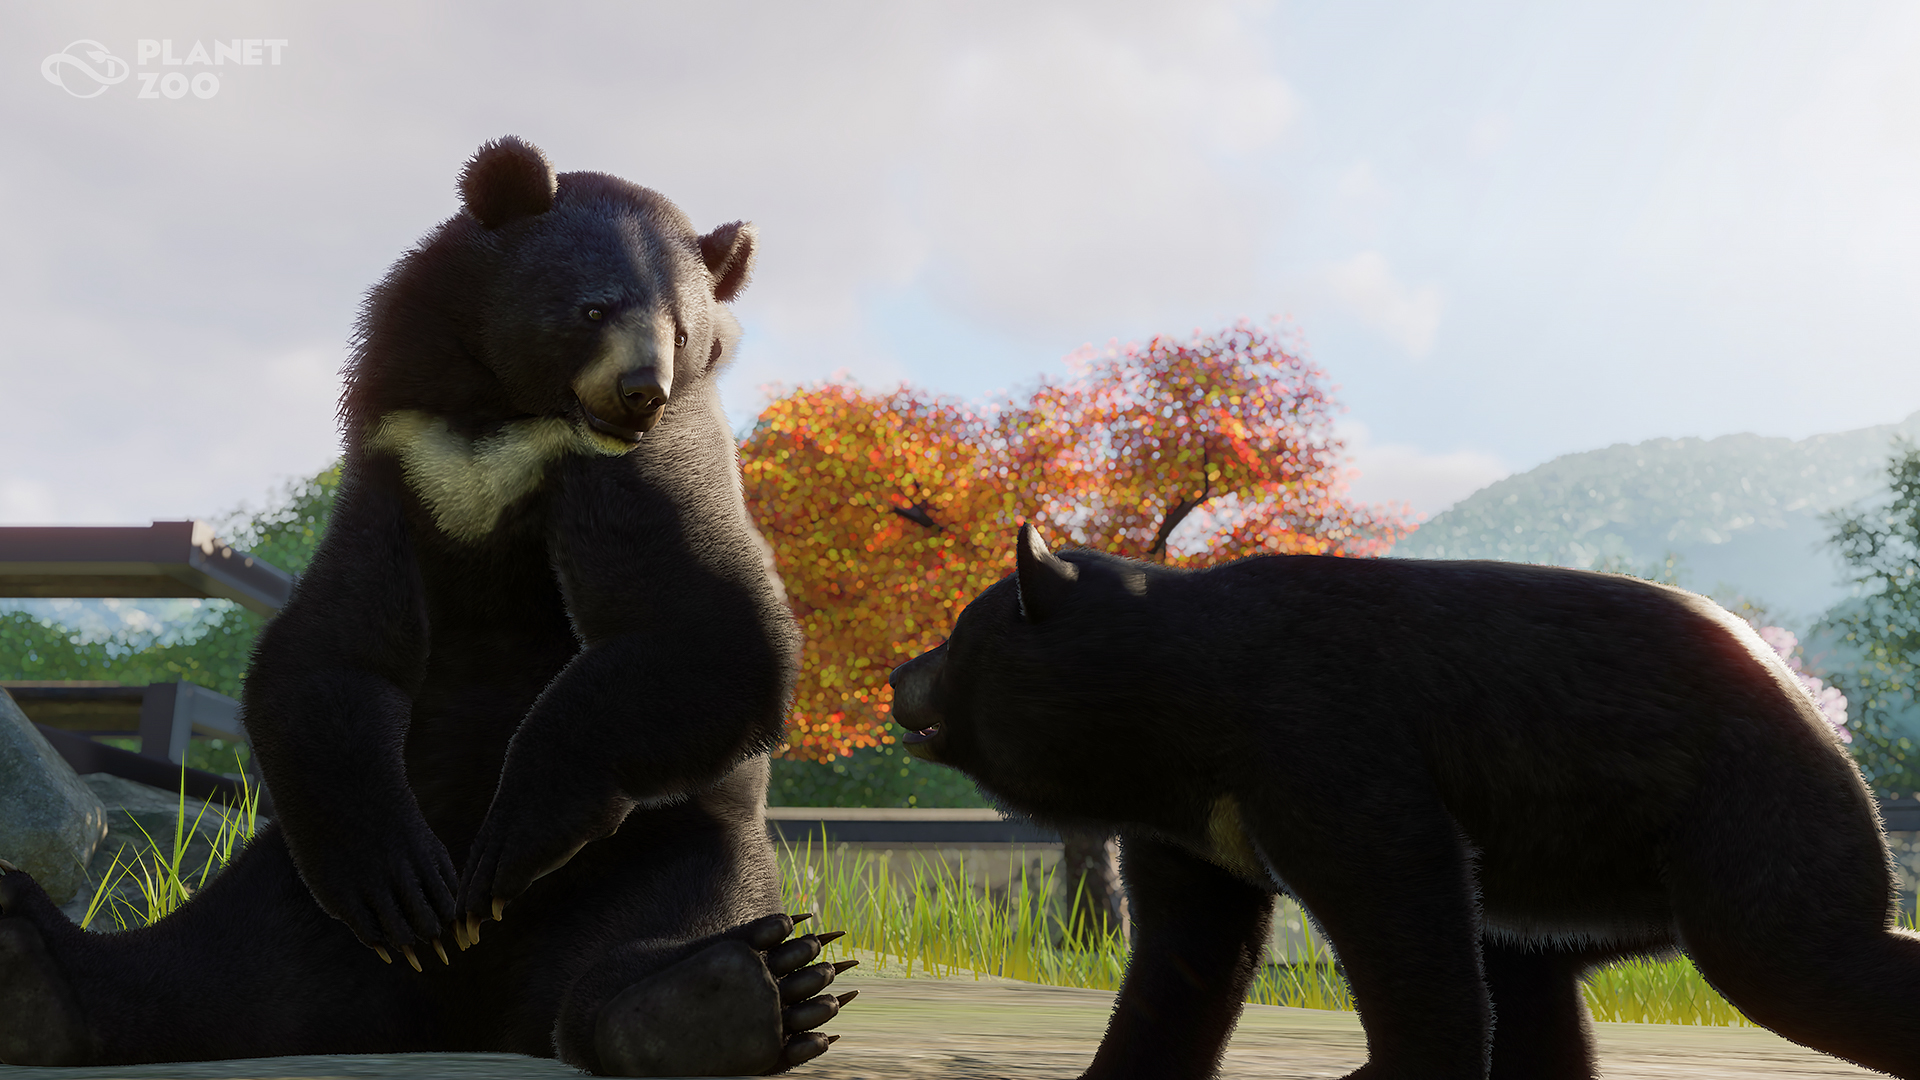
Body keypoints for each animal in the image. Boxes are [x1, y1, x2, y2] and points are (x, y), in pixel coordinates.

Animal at [0, 136, 854, 1076]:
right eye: (593, 306)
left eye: (682, 329)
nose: (643, 391)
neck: (505, 422)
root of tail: (474, 1009)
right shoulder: (402, 462)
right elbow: (336, 651)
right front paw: (405, 873)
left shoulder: (646, 465)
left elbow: (702, 625)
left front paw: (514, 830)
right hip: (302, 891)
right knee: (223, 963)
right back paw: (36, 972)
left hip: (673, 847)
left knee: (663, 925)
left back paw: (719, 995)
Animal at [888, 523, 1920, 1080]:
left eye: (954, 634)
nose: (898, 675)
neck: (1176, 721)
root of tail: (1819, 723)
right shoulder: (1198, 829)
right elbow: (1182, 962)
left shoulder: (1319, 741)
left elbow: (1399, 902)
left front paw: (1382, 1063)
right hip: (1568, 877)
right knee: (1529, 982)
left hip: (1738, 808)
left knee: (1794, 950)